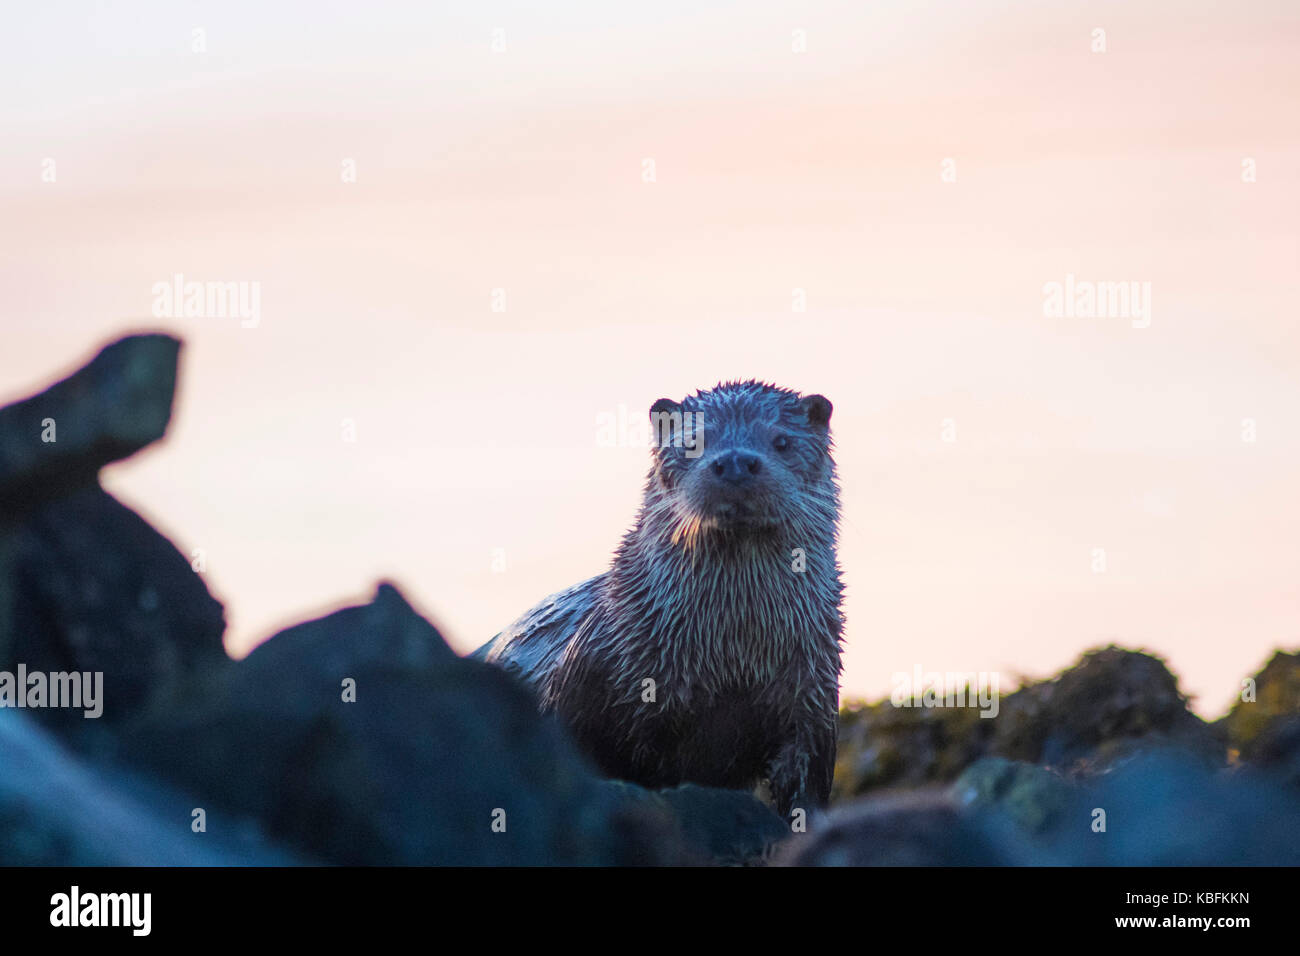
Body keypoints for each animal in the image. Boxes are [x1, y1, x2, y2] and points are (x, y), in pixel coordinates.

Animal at [473, 381, 844, 816]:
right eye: (693, 441)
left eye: (782, 441)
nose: (735, 463)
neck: (731, 663)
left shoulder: (813, 696)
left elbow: (806, 785)